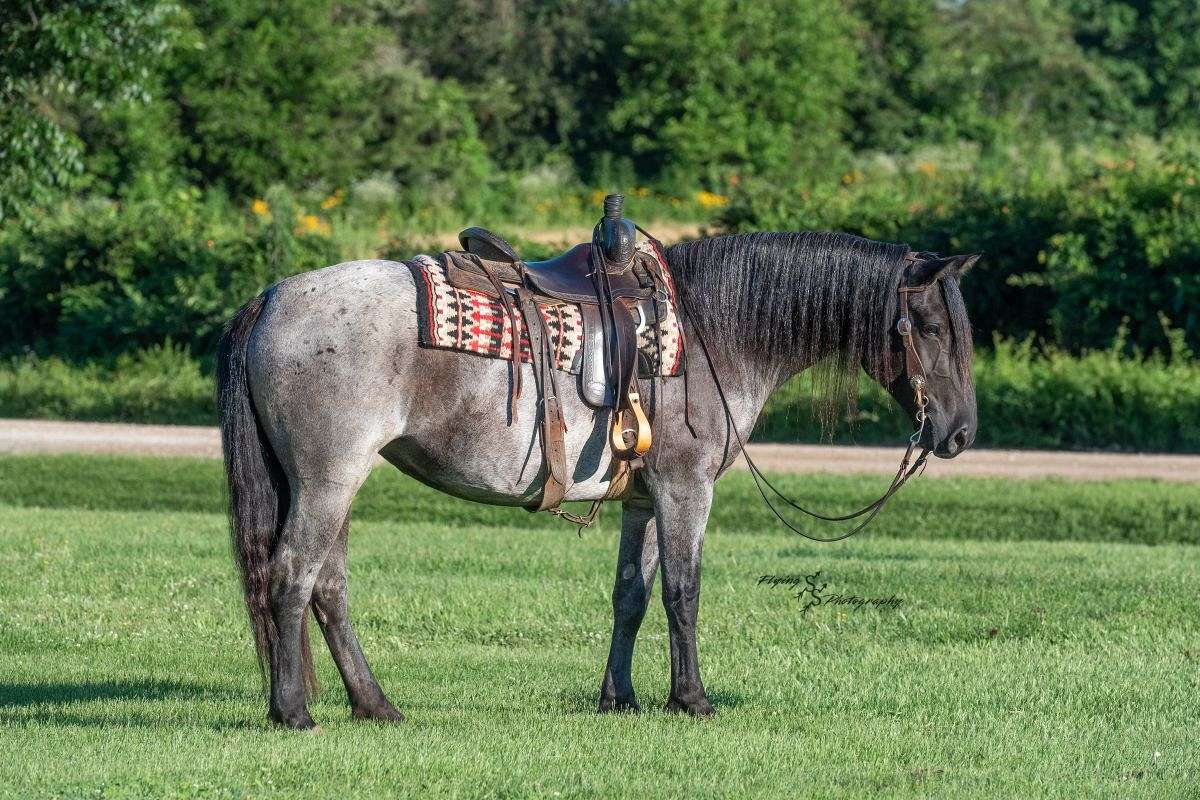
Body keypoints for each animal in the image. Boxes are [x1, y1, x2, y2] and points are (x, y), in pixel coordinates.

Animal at [216, 230, 979, 729]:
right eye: (932, 326)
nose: (960, 435)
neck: (712, 331)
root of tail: (275, 297)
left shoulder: (643, 498)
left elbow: (631, 594)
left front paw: (621, 698)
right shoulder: (685, 488)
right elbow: (682, 592)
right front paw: (691, 699)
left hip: (332, 483)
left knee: (329, 588)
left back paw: (375, 706)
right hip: (328, 479)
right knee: (292, 576)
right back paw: (292, 711)